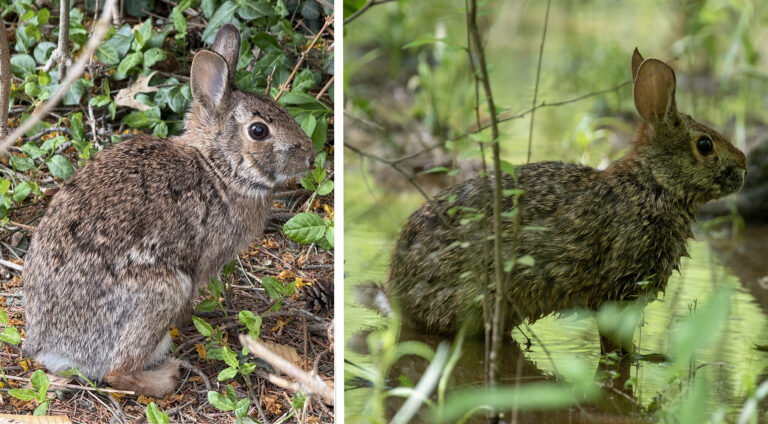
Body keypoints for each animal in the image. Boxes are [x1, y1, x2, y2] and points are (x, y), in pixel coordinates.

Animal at [22, 24, 314, 397]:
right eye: (259, 130)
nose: (310, 155)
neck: (217, 168)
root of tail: (51, 349)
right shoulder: (199, 266)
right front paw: (198, 319)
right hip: (161, 292)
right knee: (117, 373)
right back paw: (165, 377)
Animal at [363, 49, 746, 353]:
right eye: (704, 145)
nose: (743, 167)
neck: (652, 183)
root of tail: (397, 295)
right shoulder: (619, 289)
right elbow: (615, 345)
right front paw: (636, 360)